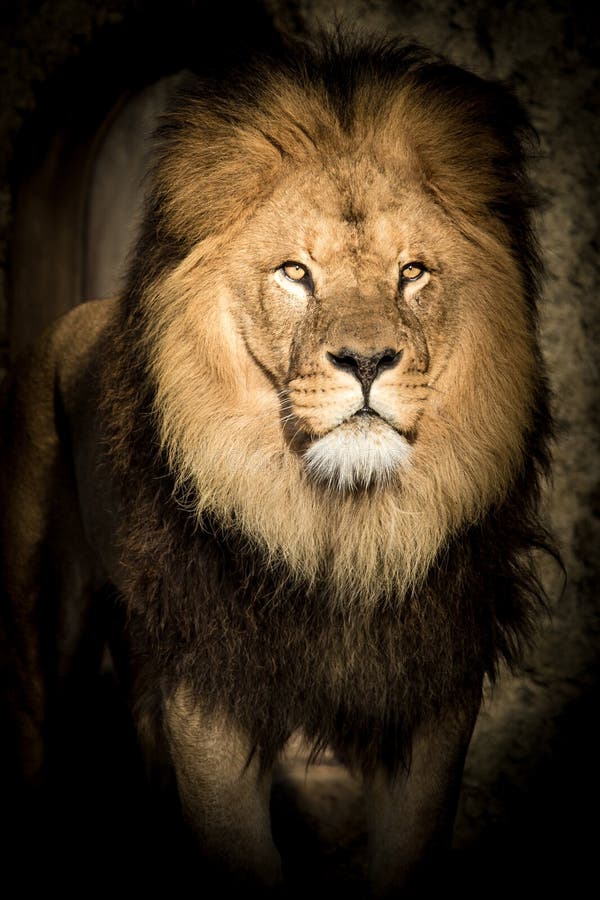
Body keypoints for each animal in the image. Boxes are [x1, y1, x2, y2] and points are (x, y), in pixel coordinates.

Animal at [0, 35, 554, 896]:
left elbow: (409, 848)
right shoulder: (210, 687)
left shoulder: (435, 684)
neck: (335, 525)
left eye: (413, 273)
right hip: (42, 618)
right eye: (296, 272)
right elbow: (239, 850)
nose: (367, 360)